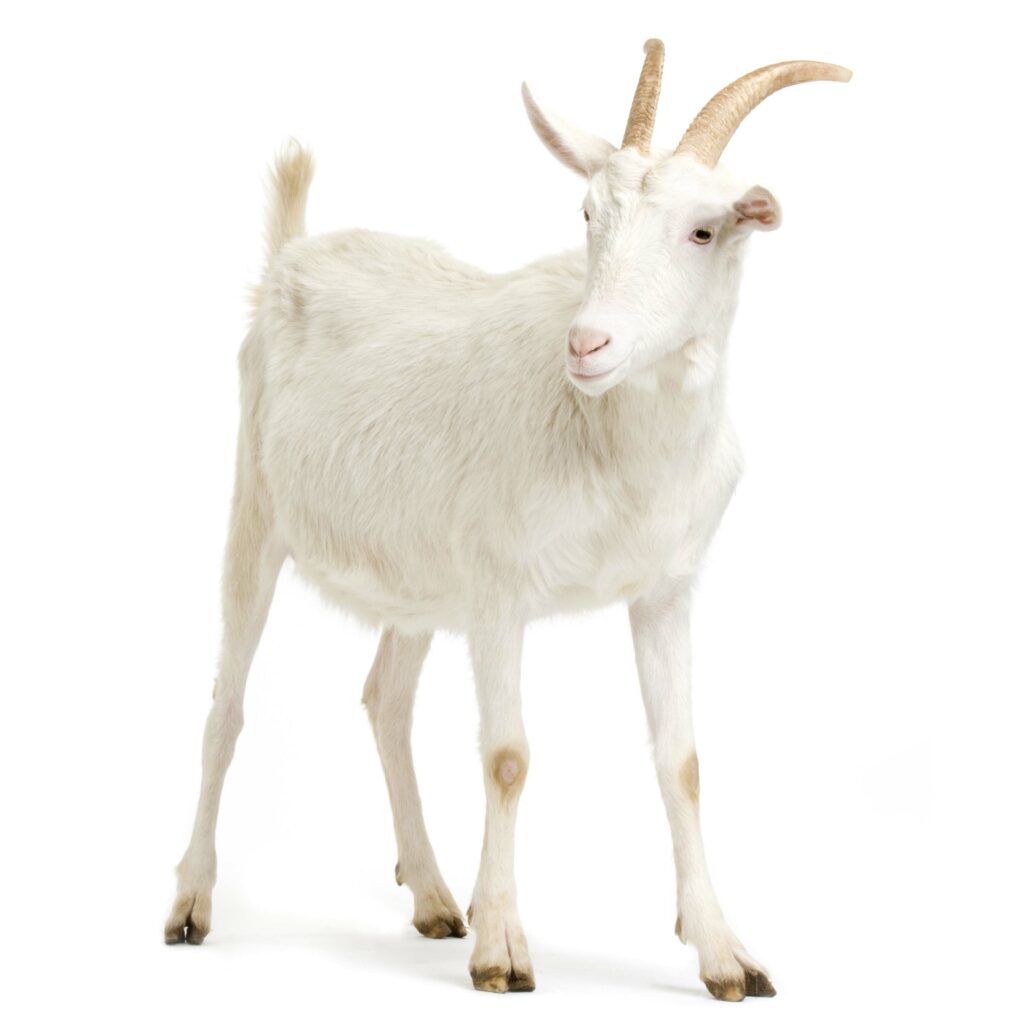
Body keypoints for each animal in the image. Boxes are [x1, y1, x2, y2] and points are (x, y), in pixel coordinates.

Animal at [165, 40, 850, 1001]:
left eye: (703, 230)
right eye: (588, 212)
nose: (588, 345)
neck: (613, 440)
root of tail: (290, 255)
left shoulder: (665, 591)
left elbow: (683, 761)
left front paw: (725, 955)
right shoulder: (498, 592)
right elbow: (508, 756)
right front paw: (503, 951)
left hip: (415, 575)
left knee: (386, 699)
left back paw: (432, 895)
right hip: (255, 511)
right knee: (225, 707)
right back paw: (191, 906)